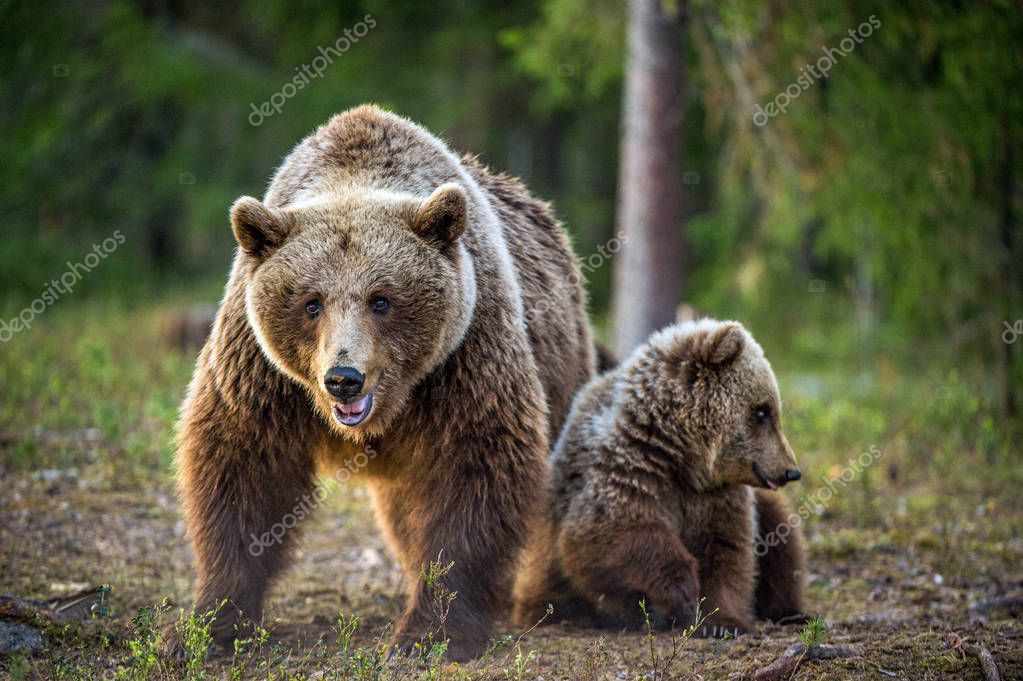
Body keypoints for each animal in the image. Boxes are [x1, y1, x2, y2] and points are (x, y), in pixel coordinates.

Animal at [173, 104, 596, 661]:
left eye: (381, 299)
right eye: (311, 301)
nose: (344, 379)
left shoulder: (466, 356)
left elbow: (475, 471)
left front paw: (430, 630)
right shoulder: (261, 371)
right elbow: (242, 468)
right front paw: (209, 624)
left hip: (564, 365)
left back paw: (555, 600)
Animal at [513, 319, 807, 636]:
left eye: (771, 409)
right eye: (763, 411)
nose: (791, 470)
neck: (682, 458)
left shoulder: (717, 496)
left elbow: (726, 550)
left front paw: (721, 622)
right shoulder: (630, 470)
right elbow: (608, 535)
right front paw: (683, 592)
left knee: (781, 537)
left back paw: (791, 613)